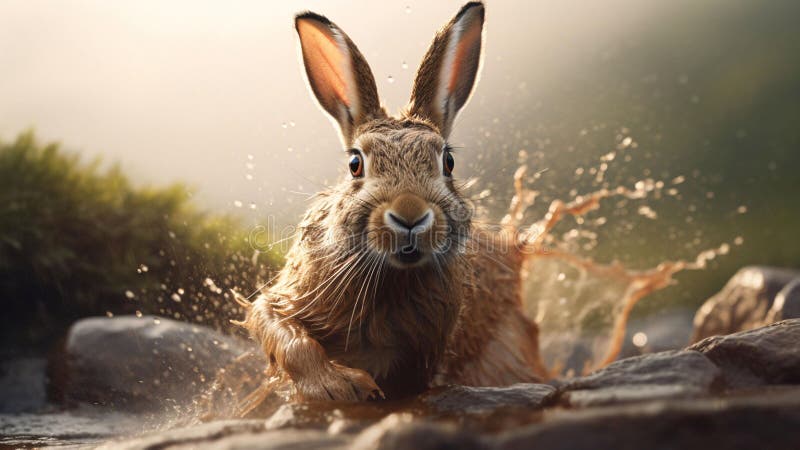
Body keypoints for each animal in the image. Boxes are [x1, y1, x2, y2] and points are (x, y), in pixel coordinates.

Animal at [239, 1, 549, 402]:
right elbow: (285, 334)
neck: (390, 279)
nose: (410, 215)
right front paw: (338, 386)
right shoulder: (285, 297)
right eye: (355, 164)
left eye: (448, 162)